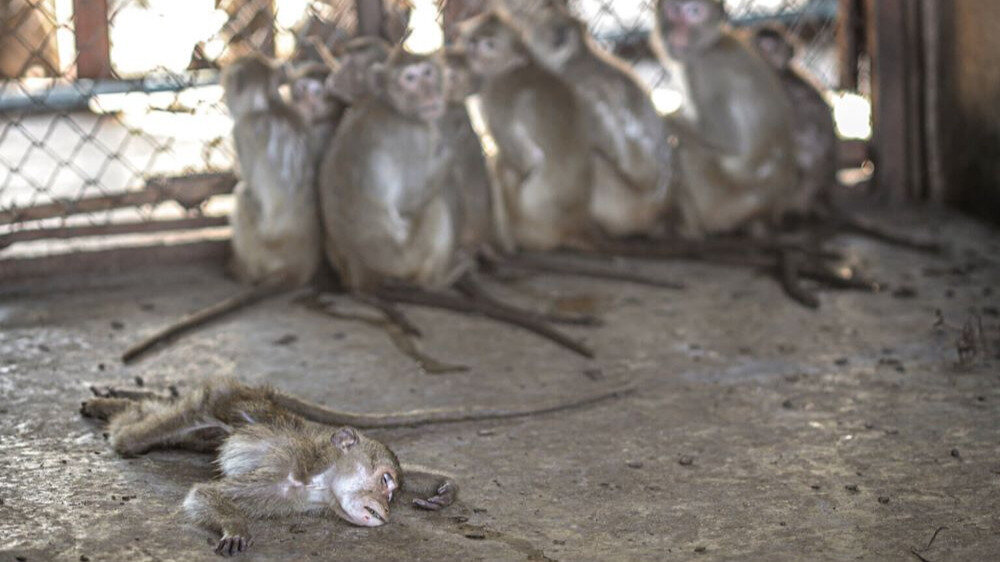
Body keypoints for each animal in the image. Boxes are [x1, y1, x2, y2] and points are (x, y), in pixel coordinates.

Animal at [80, 377, 631, 555]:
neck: (316, 482)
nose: (386, 506)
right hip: (218, 400)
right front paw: (235, 527)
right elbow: (206, 495)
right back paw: (117, 409)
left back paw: (114, 402)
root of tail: (259, 393)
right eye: (384, 482)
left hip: (216, 418)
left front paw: (444, 488)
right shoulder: (283, 481)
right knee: (140, 435)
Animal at [653, 0, 799, 239]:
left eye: (694, 12)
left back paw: (692, 230)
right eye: (673, 10)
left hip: (724, 205)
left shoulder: (706, 71)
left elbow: (726, 141)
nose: (679, 31)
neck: (711, 44)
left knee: (684, 149)